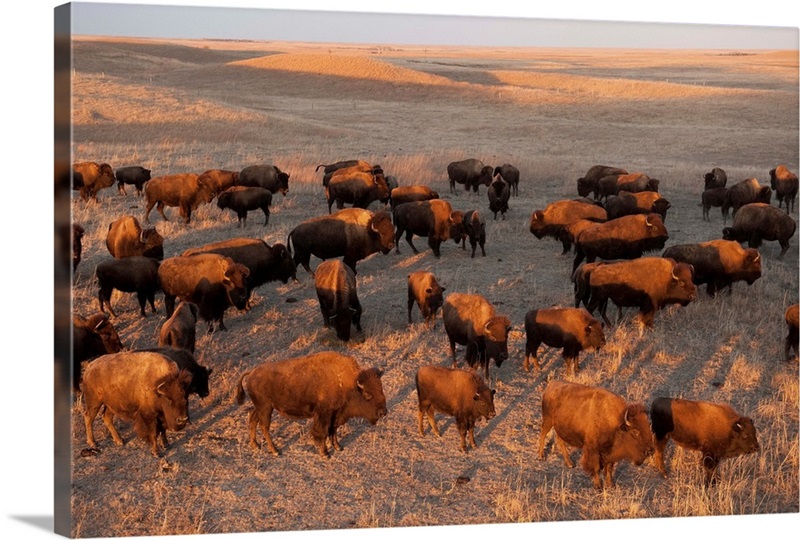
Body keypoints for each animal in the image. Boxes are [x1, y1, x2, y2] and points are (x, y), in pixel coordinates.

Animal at [234, 351, 387, 457]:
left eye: (381, 389)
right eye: (368, 395)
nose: (383, 412)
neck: (346, 383)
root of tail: (251, 373)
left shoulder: (336, 414)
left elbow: (333, 430)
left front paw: (338, 447)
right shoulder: (323, 414)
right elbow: (322, 431)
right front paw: (325, 453)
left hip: (261, 407)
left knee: (253, 419)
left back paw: (255, 445)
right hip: (266, 408)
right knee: (264, 426)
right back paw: (275, 451)